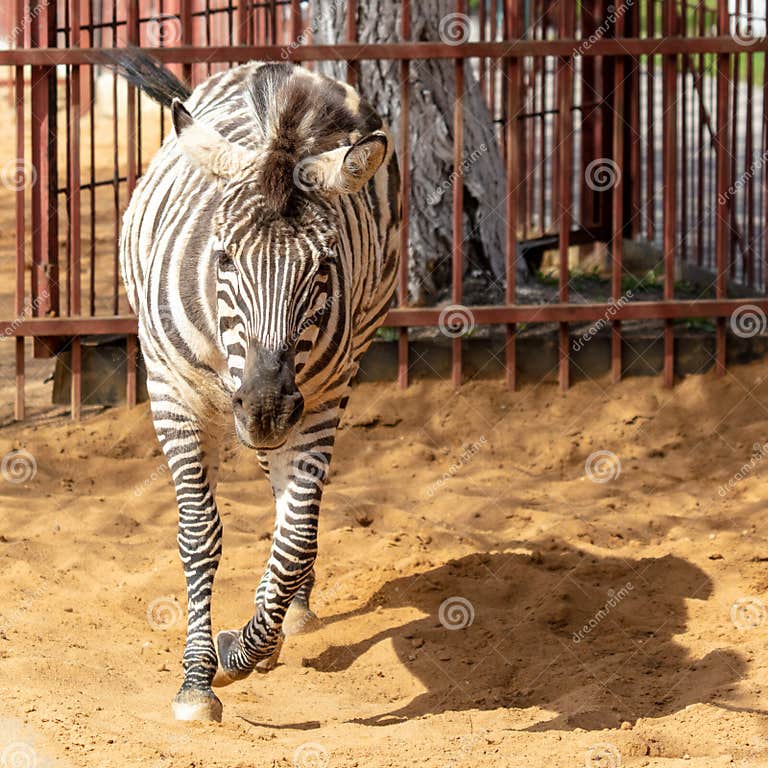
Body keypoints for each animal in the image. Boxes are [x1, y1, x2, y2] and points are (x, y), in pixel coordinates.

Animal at [114, 51, 400, 722]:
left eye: (324, 266)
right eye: (222, 258)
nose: (265, 407)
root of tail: (277, 67)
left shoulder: (319, 397)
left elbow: (296, 536)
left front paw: (244, 649)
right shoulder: (170, 392)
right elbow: (199, 533)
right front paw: (196, 679)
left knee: (293, 509)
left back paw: (287, 607)